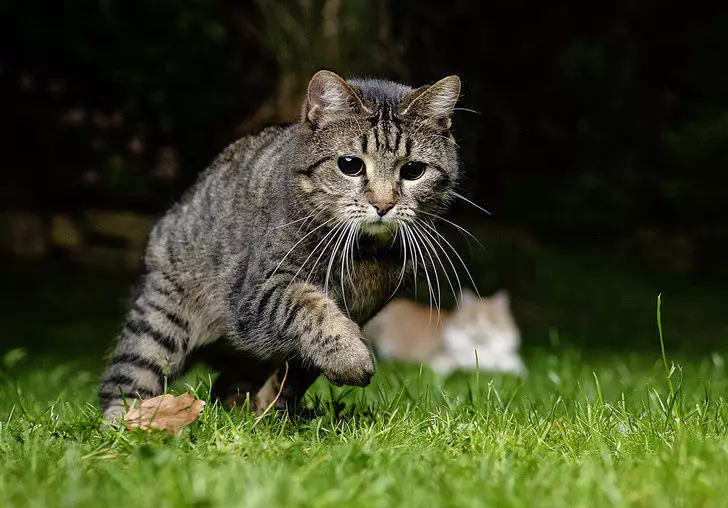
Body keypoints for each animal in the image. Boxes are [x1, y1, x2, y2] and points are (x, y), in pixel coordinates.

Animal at [98, 71, 460, 420]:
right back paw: (129, 423)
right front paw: (350, 358)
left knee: (228, 387)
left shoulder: (358, 313)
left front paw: (276, 411)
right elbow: (308, 305)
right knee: (124, 382)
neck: (365, 255)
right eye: (350, 165)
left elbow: (295, 372)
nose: (383, 205)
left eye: (413, 170)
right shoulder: (259, 293)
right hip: (159, 321)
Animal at [364, 288, 524, 376]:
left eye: (491, 320)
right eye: (472, 318)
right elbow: (450, 364)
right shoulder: (439, 355)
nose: (481, 329)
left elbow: (513, 365)